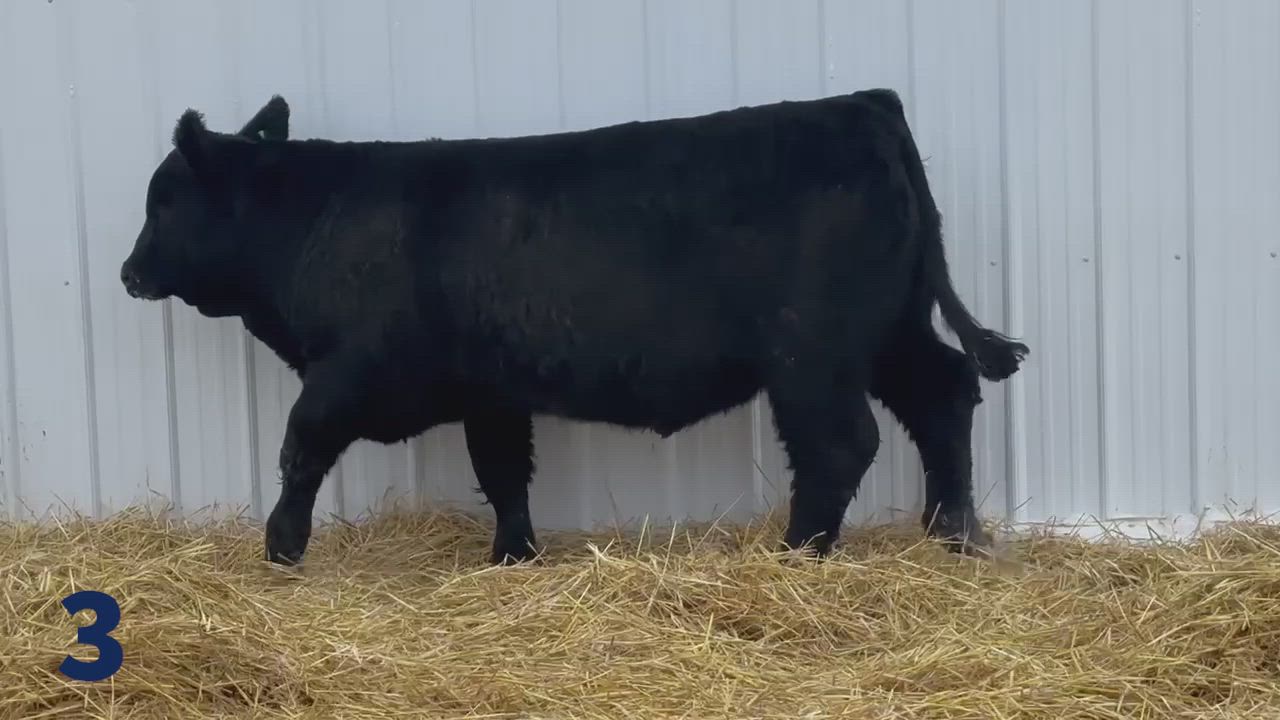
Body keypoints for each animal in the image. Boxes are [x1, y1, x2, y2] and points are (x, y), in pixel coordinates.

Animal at [119, 89, 1028, 567]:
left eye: (163, 201)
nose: (129, 273)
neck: (316, 219)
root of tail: (865, 104)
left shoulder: (346, 371)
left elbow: (299, 448)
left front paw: (281, 546)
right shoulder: (488, 389)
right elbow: (503, 470)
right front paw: (512, 557)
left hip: (813, 353)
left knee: (841, 443)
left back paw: (799, 550)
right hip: (890, 330)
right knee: (945, 393)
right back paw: (956, 531)